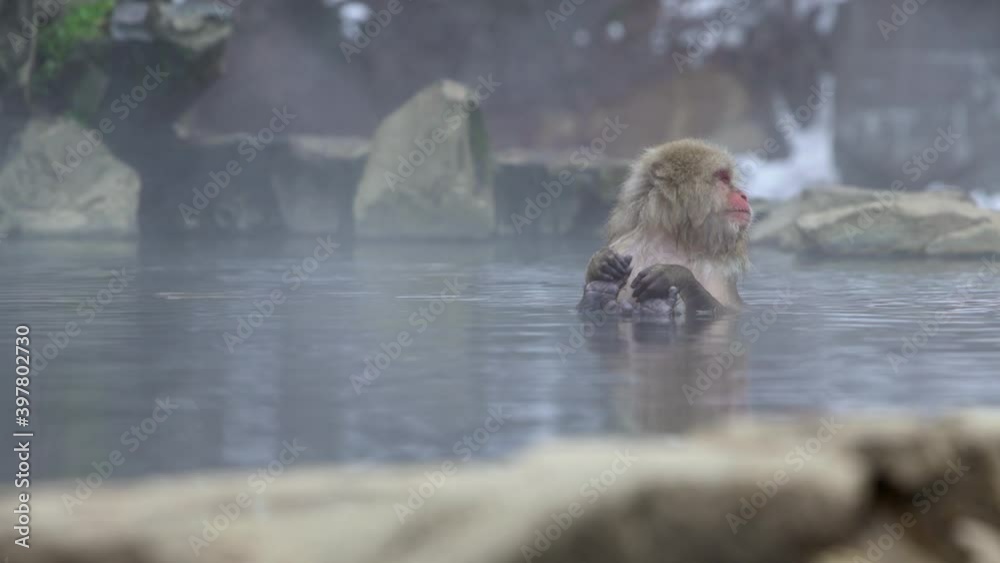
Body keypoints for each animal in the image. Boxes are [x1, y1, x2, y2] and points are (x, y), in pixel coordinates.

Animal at [579, 139, 752, 318]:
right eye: (724, 179)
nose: (744, 196)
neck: (668, 241)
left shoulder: (718, 270)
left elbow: (724, 311)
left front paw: (676, 274)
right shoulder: (623, 247)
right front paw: (599, 261)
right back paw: (599, 294)